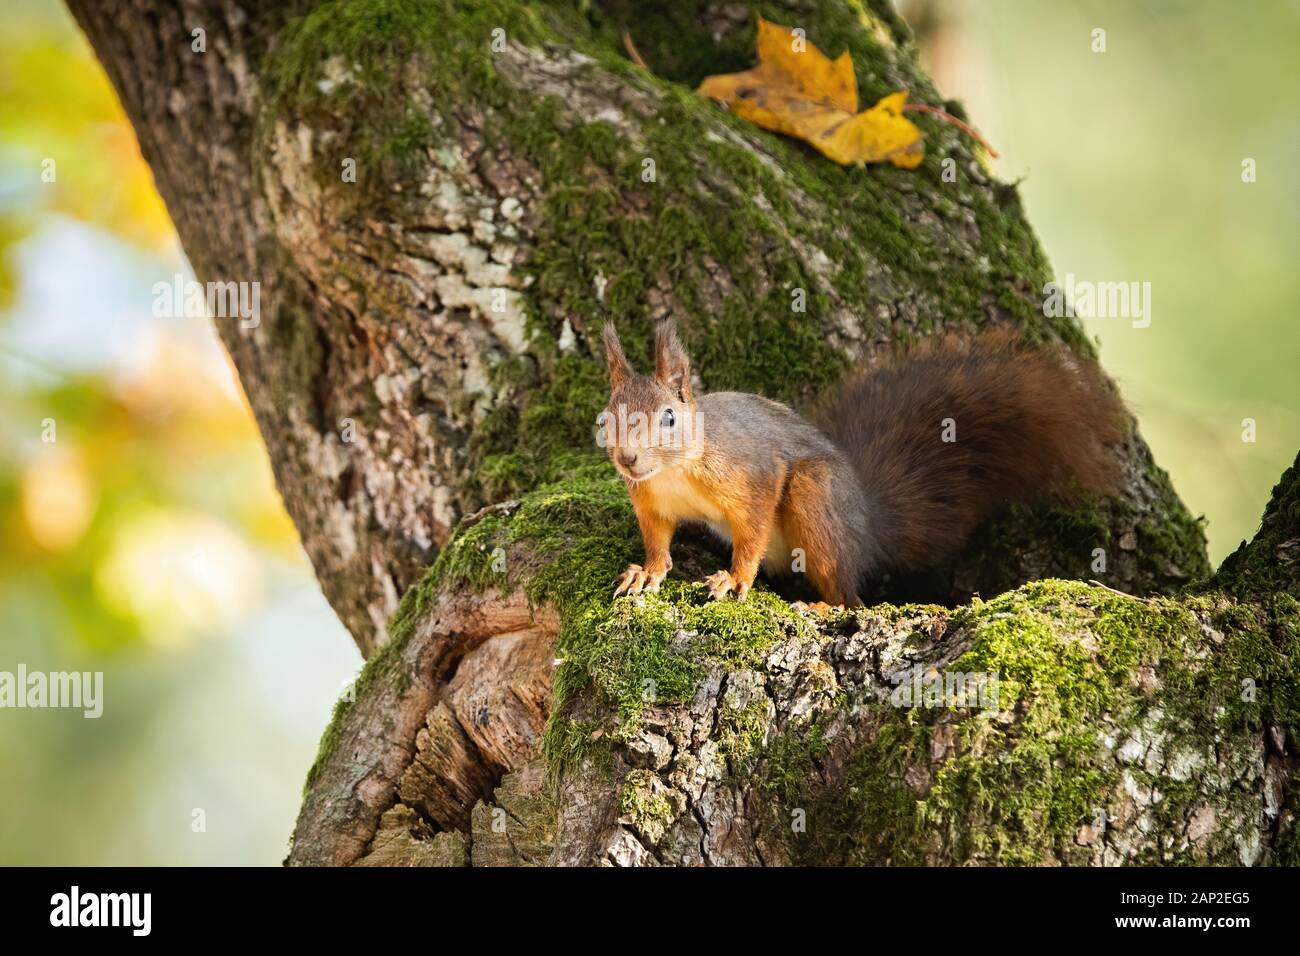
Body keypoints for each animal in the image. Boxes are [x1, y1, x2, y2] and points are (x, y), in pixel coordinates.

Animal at [599, 318, 1125, 606]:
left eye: (669, 418)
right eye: (607, 414)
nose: (628, 459)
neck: (673, 473)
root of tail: (868, 526)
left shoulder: (752, 475)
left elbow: (751, 532)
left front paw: (734, 579)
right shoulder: (650, 503)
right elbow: (657, 541)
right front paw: (648, 571)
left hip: (816, 496)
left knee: (851, 601)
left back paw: (820, 607)